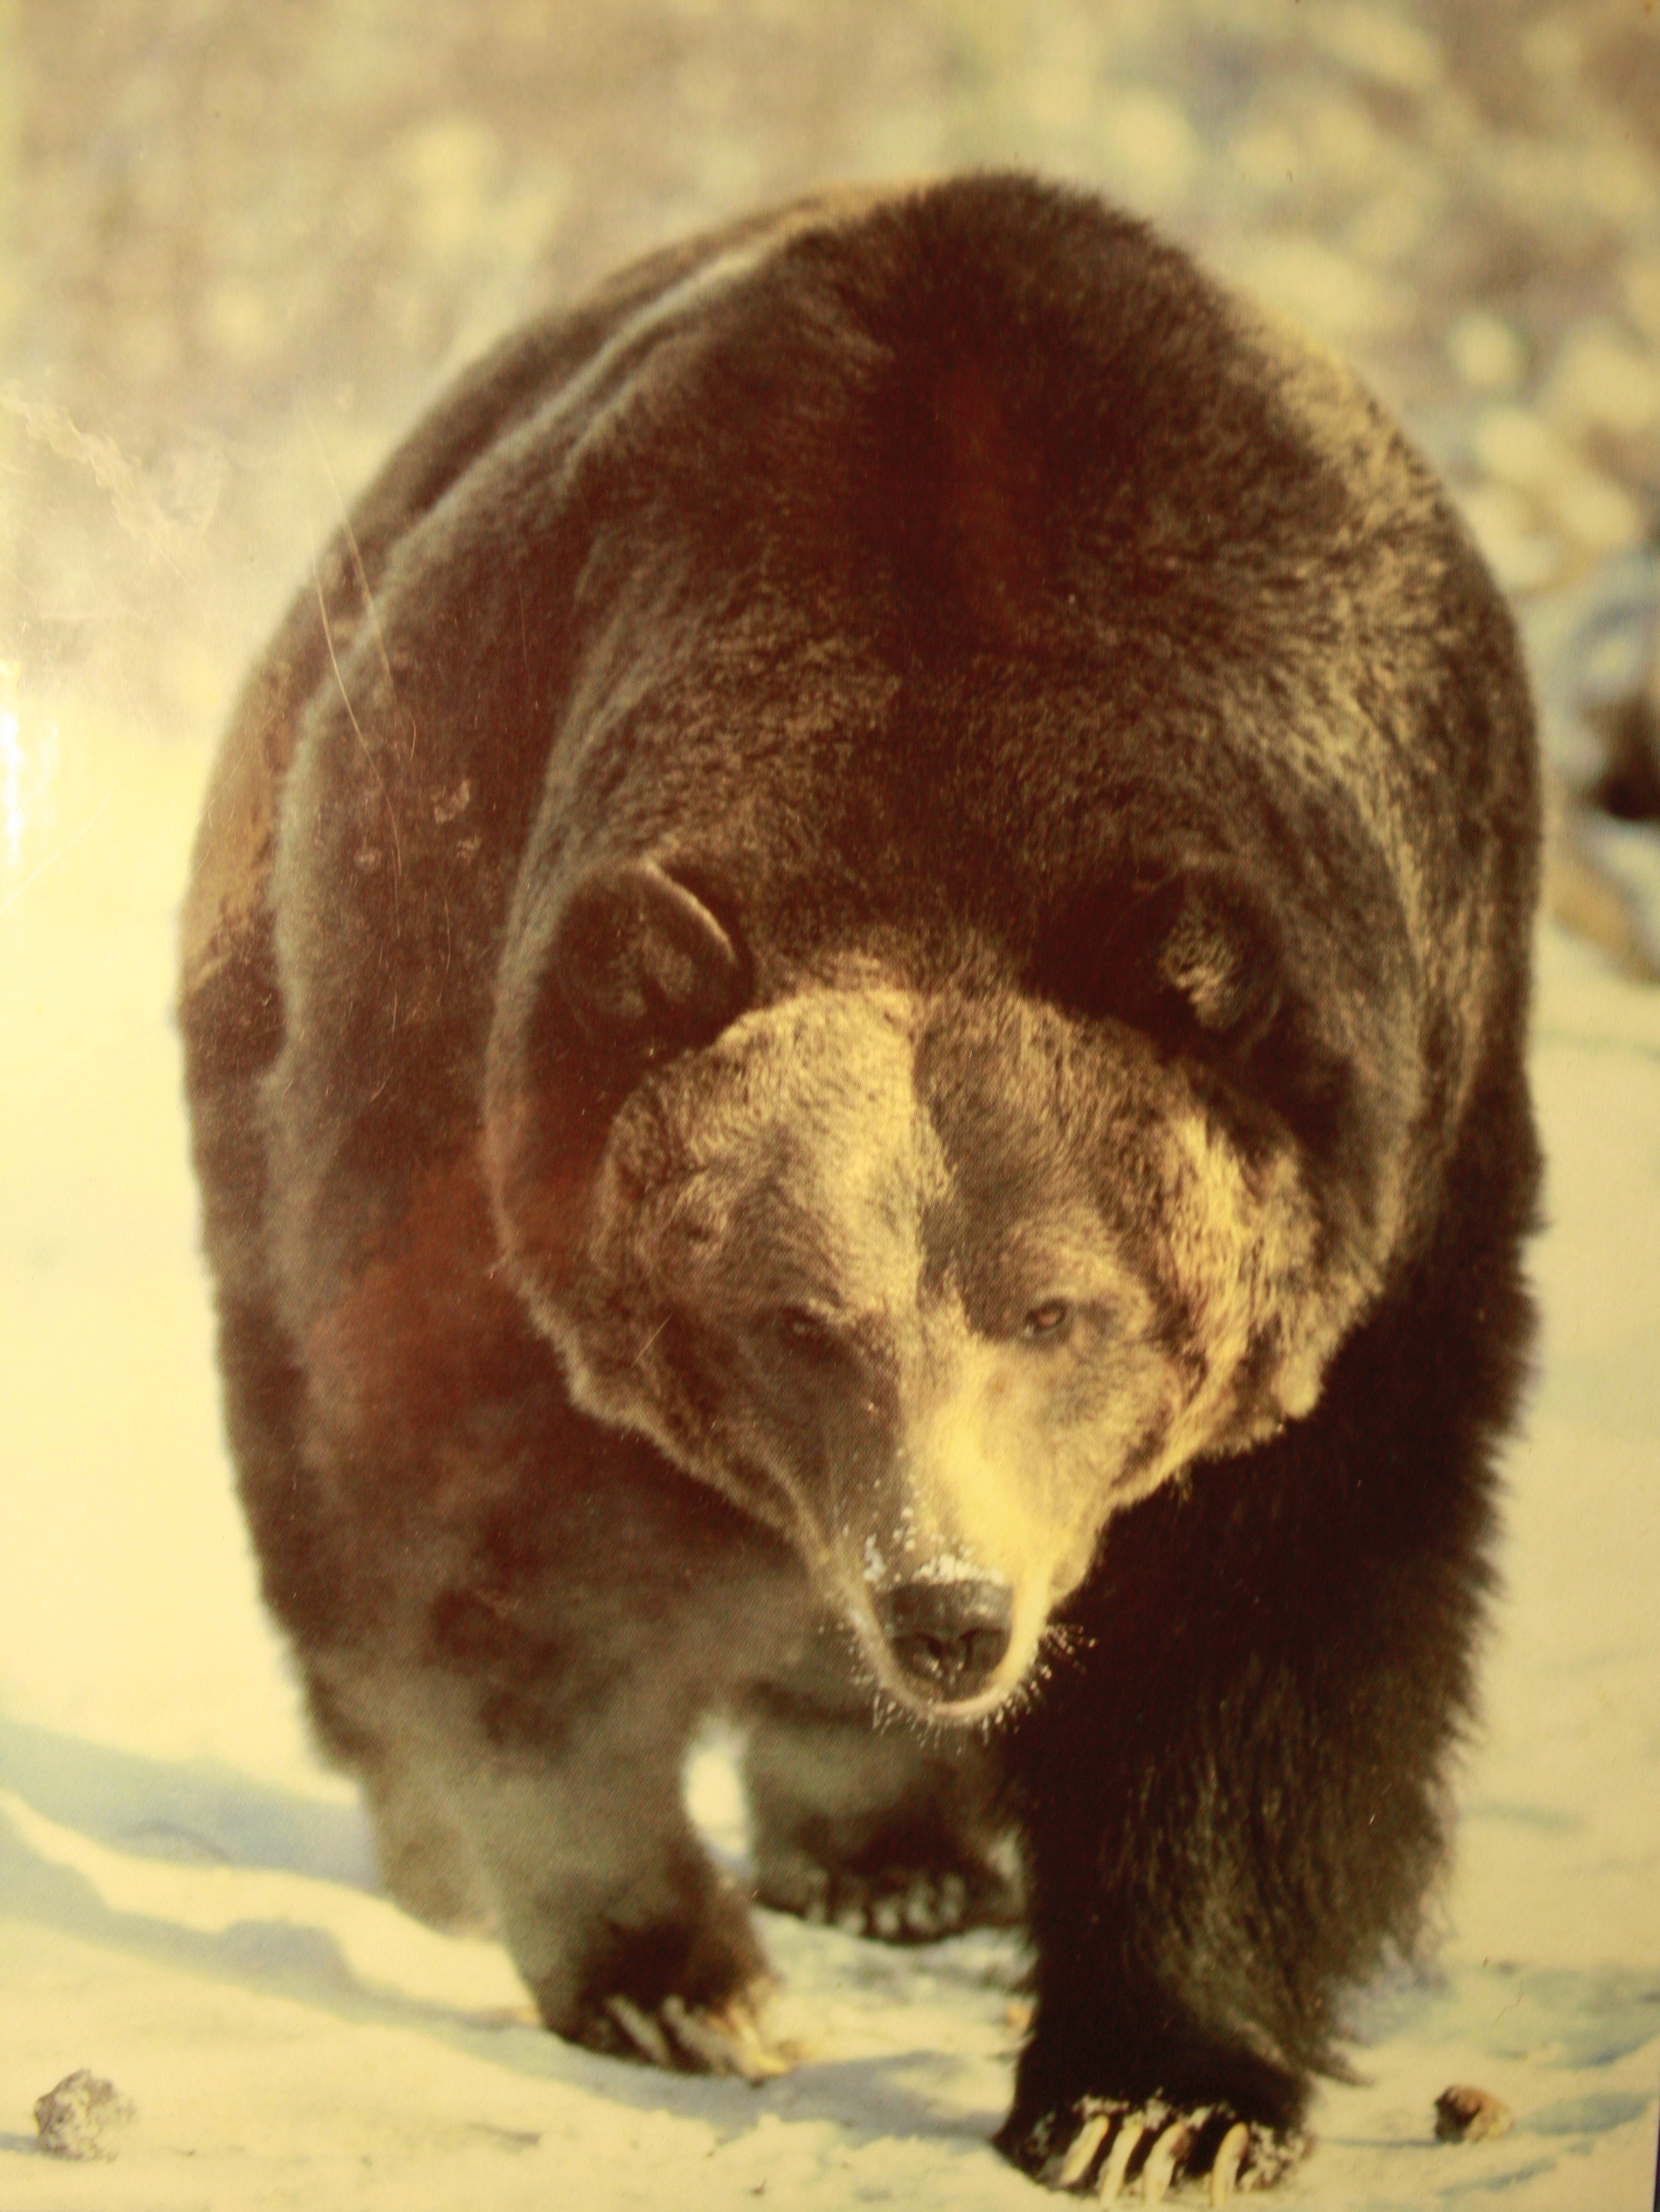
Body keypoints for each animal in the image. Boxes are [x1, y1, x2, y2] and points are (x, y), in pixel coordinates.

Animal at [179, 175, 1540, 2197]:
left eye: (1066, 1305)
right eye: (790, 1316)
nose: (950, 1610)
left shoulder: (1390, 1161)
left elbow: (1281, 1614)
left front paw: (1153, 2090)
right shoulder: (459, 1026)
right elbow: (496, 1533)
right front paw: (678, 1971)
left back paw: (894, 1858)